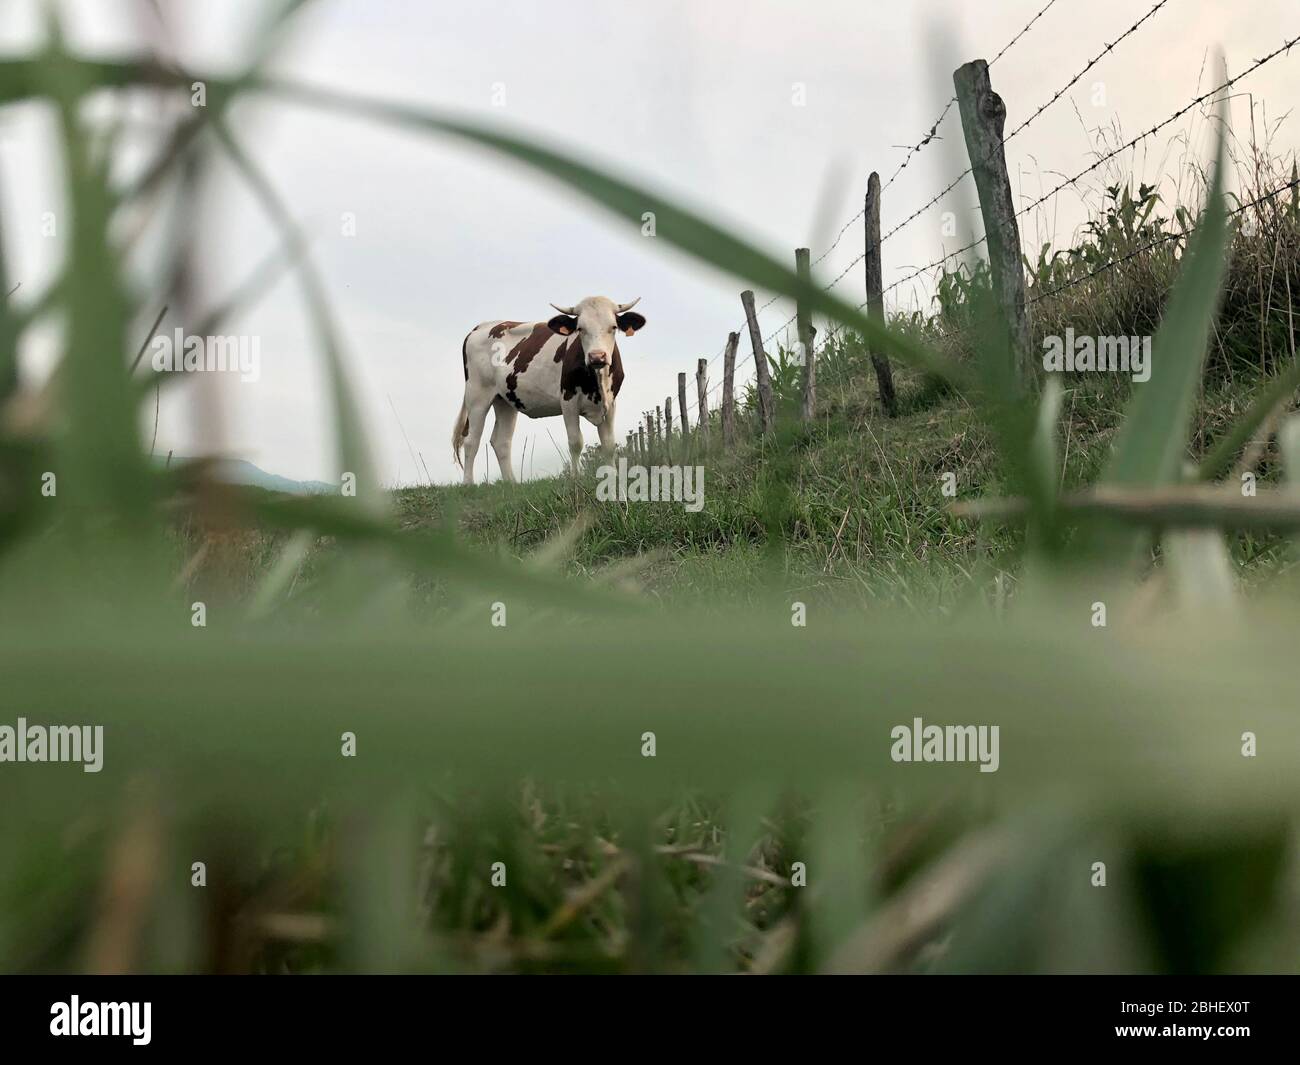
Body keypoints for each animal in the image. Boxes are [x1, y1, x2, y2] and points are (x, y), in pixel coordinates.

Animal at [451, 296, 647, 484]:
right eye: (580, 328)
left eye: (613, 327)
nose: (597, 356)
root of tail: (482, 326)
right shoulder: (568, 400)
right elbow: (575, 441)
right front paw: (576, 481)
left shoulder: (611, 403)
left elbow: (608, 445)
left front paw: (613, 482)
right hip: (477, 396)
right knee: (471, 441)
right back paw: (468, 484)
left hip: (504, 400)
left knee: (501, 442)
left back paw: (511, 484)